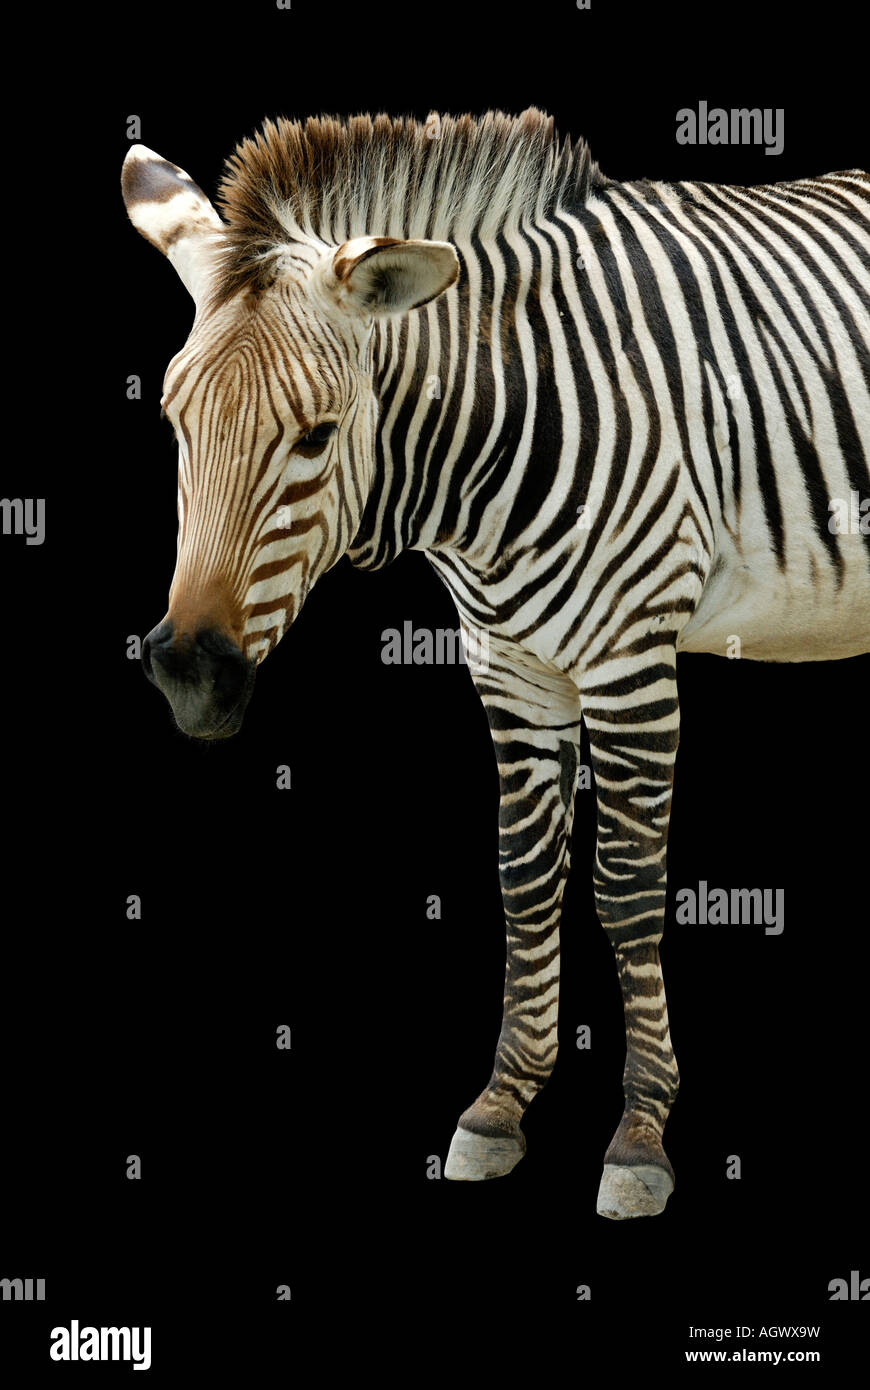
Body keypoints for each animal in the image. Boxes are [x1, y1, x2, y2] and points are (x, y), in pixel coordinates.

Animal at [121, 110, 870, 1219]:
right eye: (173, 422)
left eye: (318, 436)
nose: (188, 675)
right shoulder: (511, 667)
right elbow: (522, 875)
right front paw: (500, 1107)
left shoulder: (632, 662)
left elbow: (627, 889)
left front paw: (640, 1136)